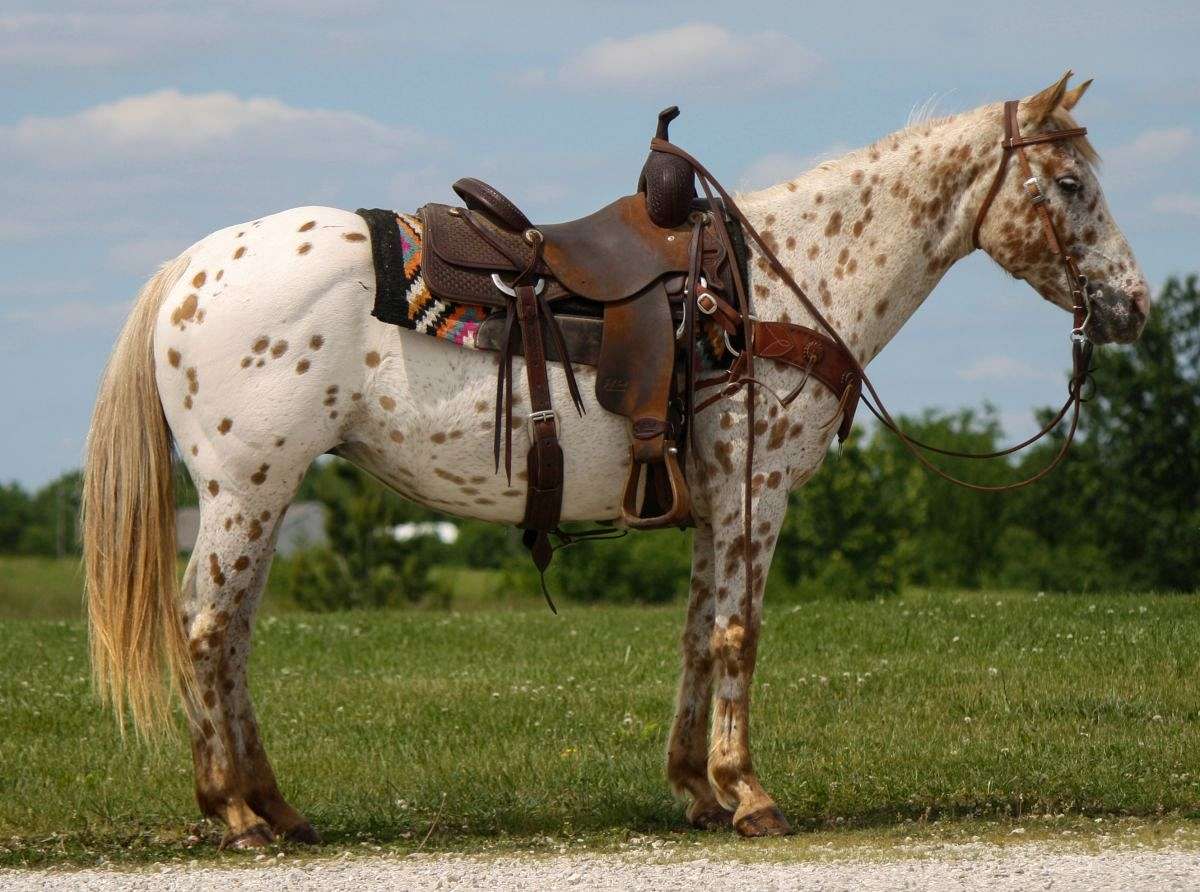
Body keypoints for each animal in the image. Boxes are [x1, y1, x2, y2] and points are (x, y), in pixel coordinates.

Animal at [82, 73, 1148, 848]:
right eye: (1070, 186)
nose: (1134, 307)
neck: (783, 283)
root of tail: (187, 270)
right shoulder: (760, 492)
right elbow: (739, 636)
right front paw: (749, 794)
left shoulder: (715, 502)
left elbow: (696, 635)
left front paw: (696, 790)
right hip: (246, 489)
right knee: (207, 626)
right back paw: (234, 812)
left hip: (260, 495)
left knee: (233, 635)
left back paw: (278, 806)